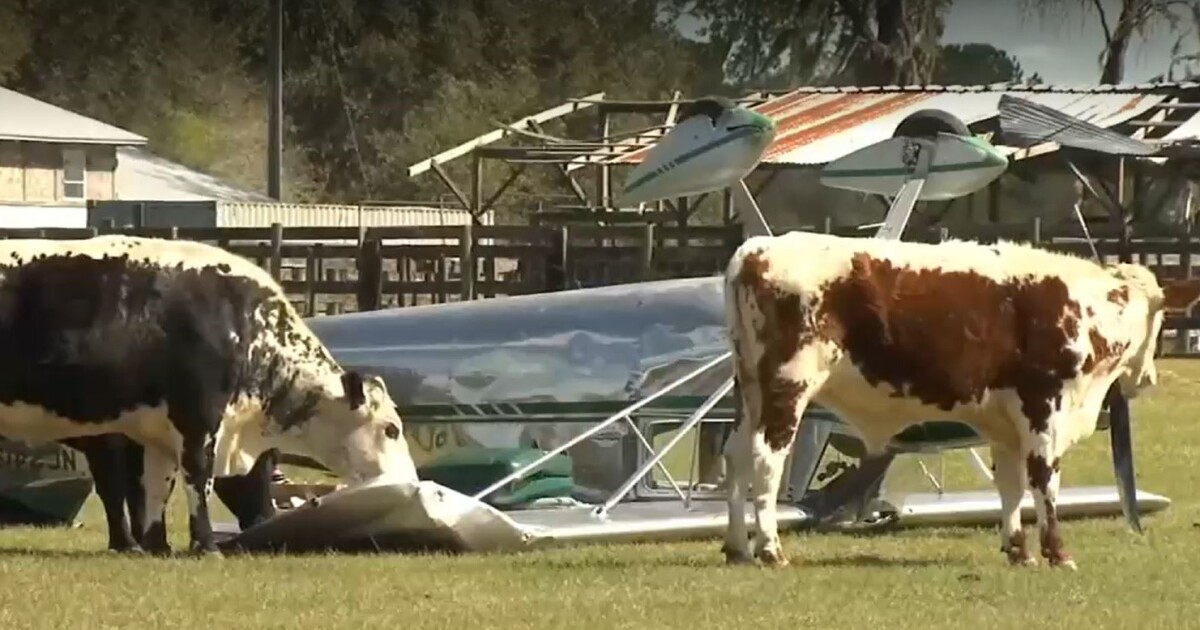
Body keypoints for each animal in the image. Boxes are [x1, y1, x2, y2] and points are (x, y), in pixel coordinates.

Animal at [0, 235, 418, 556]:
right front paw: (204, 545)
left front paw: (157, 545)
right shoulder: (196, 418)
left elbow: (158, 484)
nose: (411, 480)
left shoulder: (156, 429)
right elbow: (195, 478)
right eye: (391, 429)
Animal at [722, 230, 1168, 570]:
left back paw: (738, 547)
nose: (1148, 379)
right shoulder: (1045, 410)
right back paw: (770, 549)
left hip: (751, 392)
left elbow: (1010, 486)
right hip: (788, 388)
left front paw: (1018, 550)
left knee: (738, 458)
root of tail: (758, 248)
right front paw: (1057, 553)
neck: (1076, 309)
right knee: (766, 460)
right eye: (1158, 319)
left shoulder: (1005, 426)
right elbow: (1044, 482)